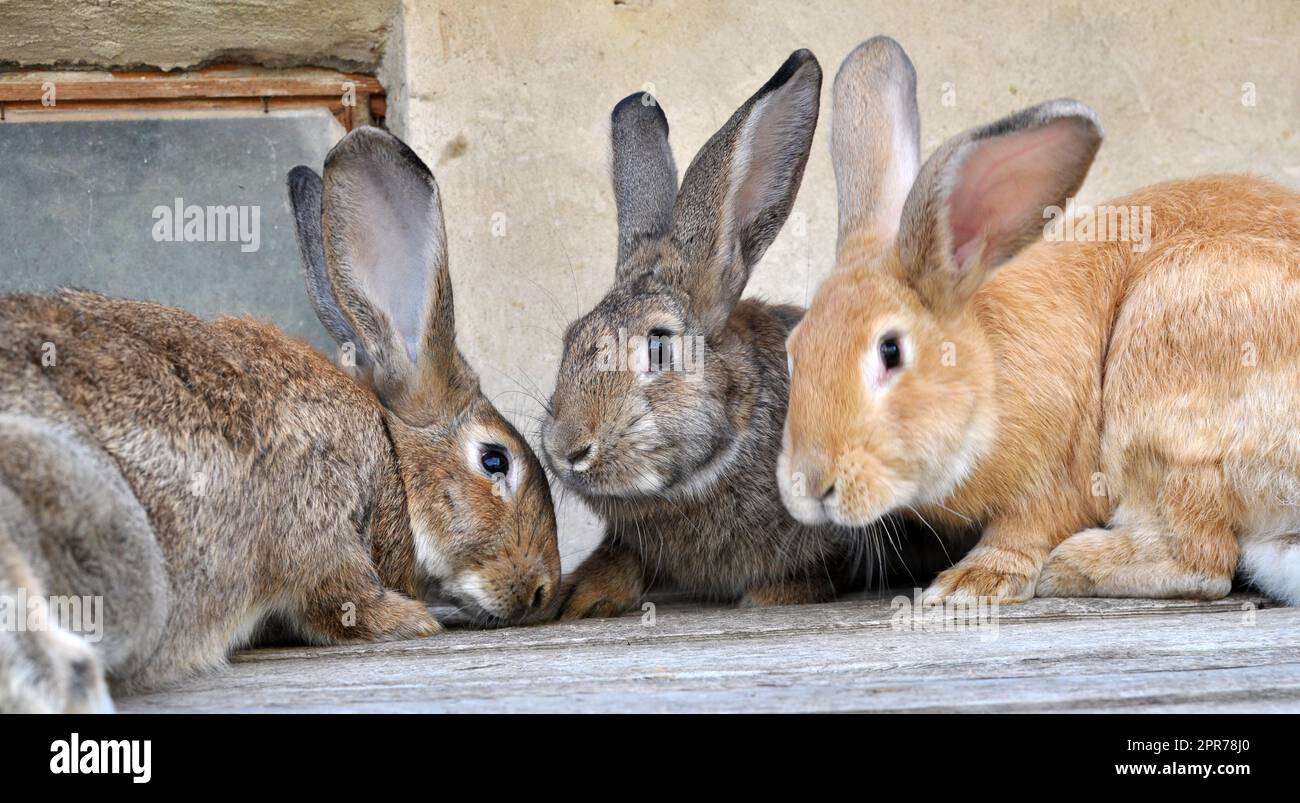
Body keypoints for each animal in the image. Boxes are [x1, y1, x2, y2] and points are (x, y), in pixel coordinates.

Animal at [0, 125, 560, 713]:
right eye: (494, 460)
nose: (541, 591)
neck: (393, 457)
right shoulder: (325, 532)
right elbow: (343, 603)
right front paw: (416, 620)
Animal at [778, 35, 1300, 607]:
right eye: (794, 352)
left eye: (889, 351)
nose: (809, 485)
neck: (987, 370)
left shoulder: (1056, 478)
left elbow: (1025, 528)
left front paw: (968, 586)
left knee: (1202, 560)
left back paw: (1071, 566)